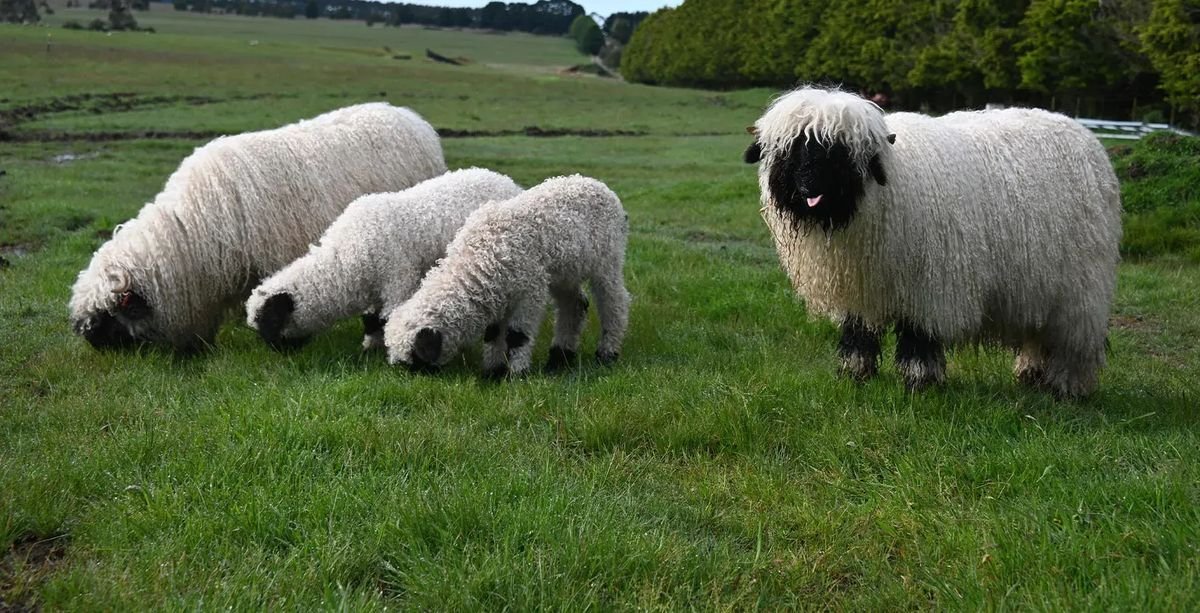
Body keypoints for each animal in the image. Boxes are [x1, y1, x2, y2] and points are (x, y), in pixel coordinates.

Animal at [244, 168, 523, 351]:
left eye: (271, 320)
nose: (280, 354)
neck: (345, 259)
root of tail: (508, 181)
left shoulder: (397, 279)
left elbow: (387, 319)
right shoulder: (371, 287)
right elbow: (370, 320)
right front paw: (369, 347)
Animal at [384, 175, 630, 379]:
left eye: (416, 358)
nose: (421, 378)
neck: (478, 257)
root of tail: (601, 186)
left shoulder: (530, 289)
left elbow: (517, 335)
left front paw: (516, 374)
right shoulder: (497, 292)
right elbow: (493, 333)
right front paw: (493, 371)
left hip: (608, 261)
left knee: (615, 303)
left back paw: (607, 352)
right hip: (565, 272)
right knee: (574, 306)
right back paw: (560, 357)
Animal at [743, 87, 1122, 398]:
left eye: (838, 152)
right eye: (789, 150)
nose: (808, 188)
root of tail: (1083, 134)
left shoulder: (930, 284)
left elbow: (919, 333)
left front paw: (919, 380)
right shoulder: (862, 282)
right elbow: (858, 329)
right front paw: (855, 373)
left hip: (1081, 282)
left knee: (1075, 338)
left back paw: (1067, 385)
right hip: (1038, 282)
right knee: (1038, 333)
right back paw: (1031, 373)